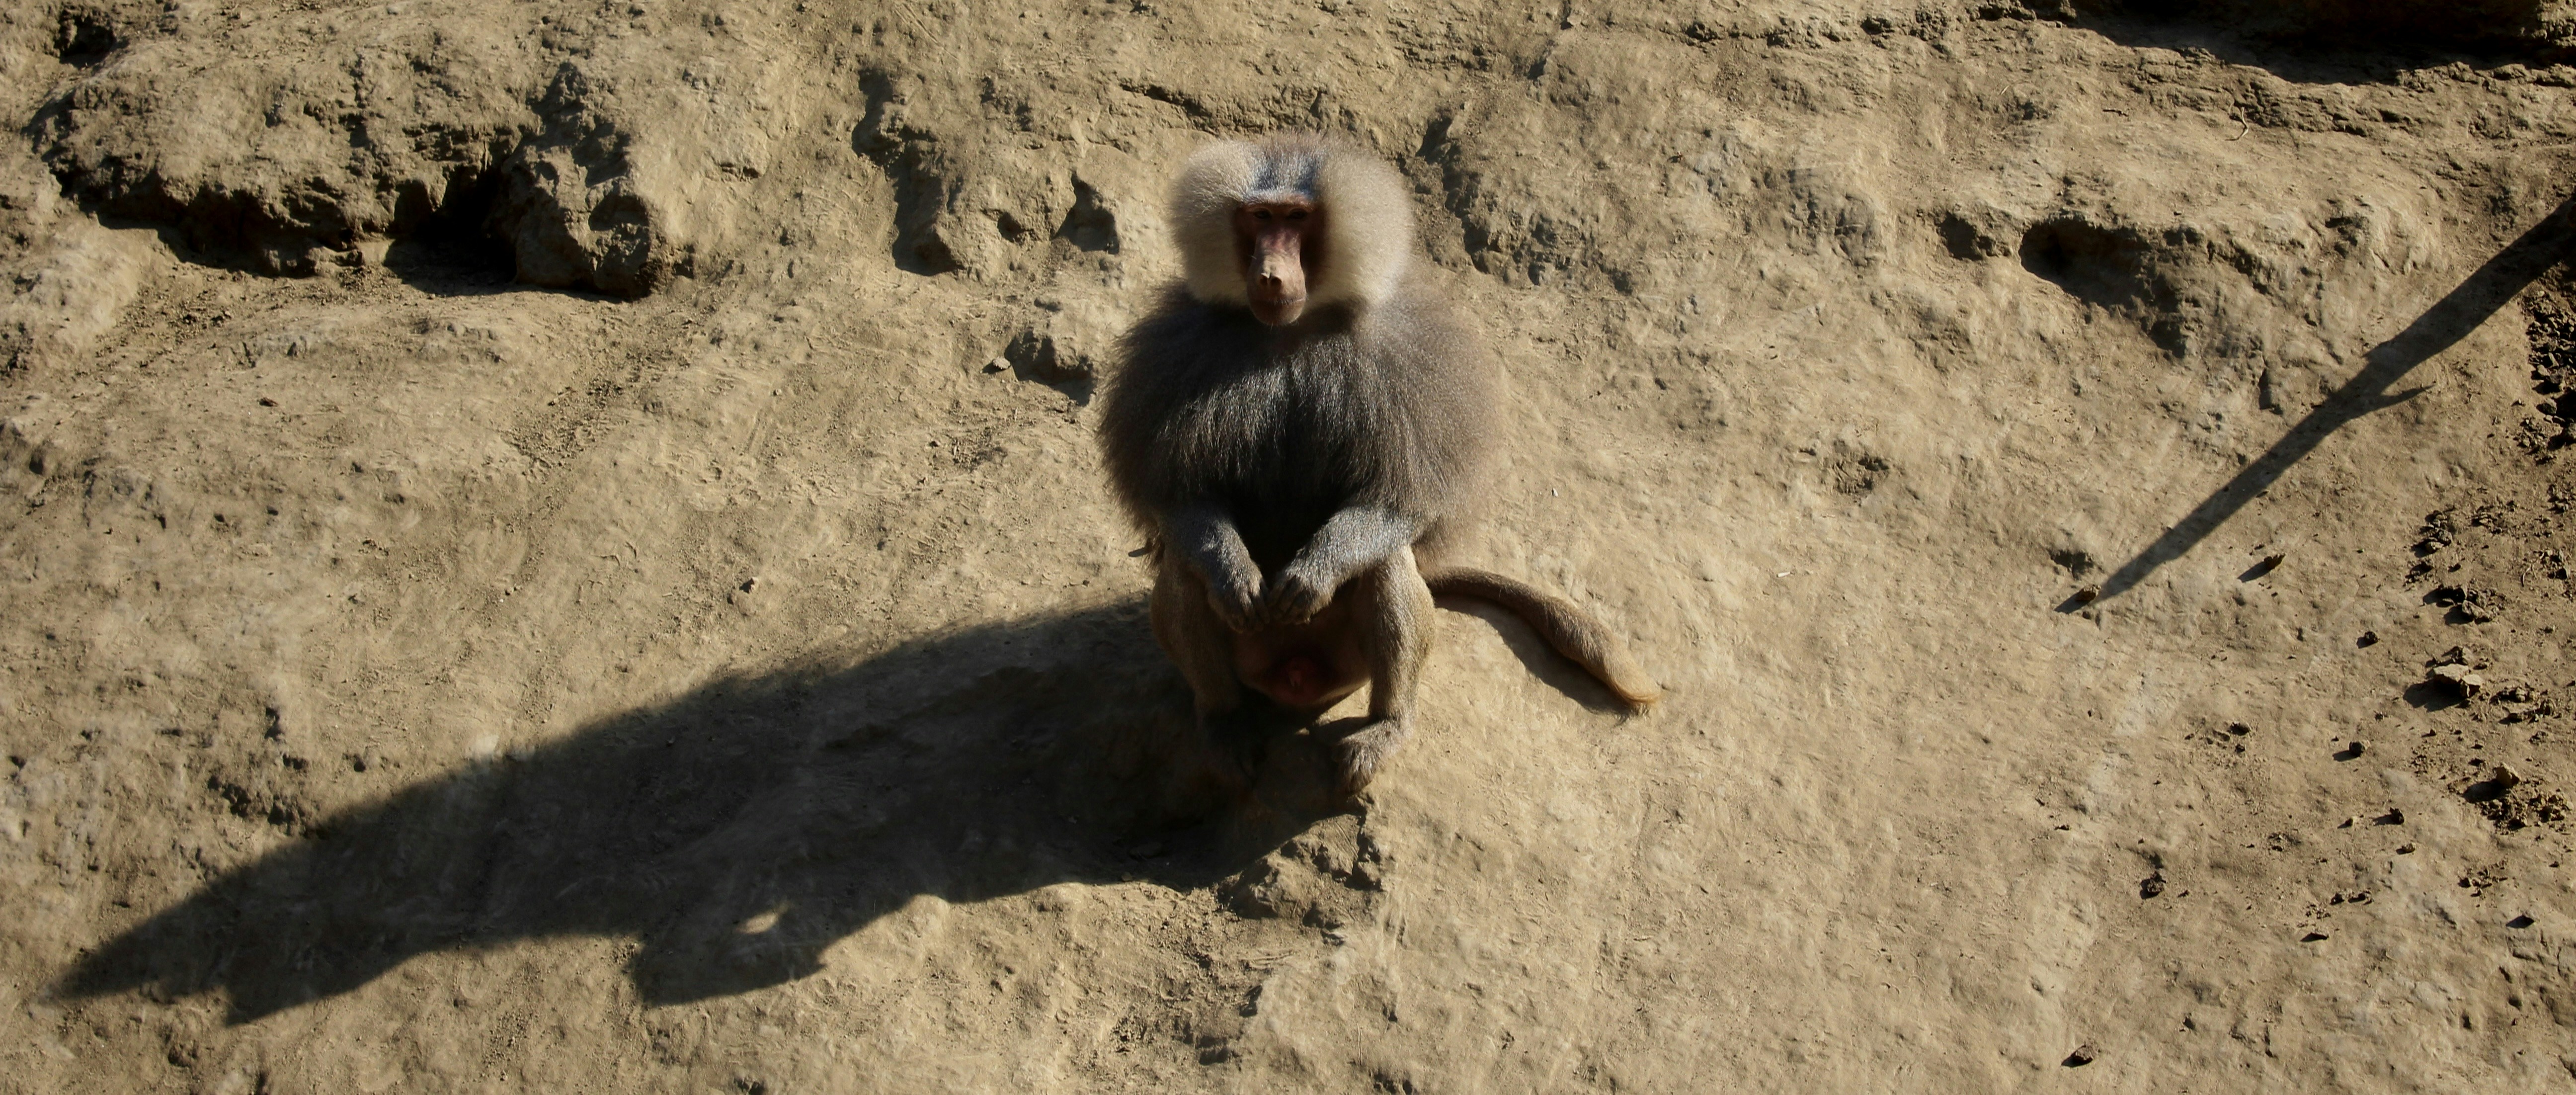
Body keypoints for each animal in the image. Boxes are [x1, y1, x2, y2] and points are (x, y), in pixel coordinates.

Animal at [1097, 132, 1660, 796]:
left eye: (1297, 219)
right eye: (1259, 218)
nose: (1269, 274)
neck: (1294, 331)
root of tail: (1296, 677)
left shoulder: (1406, 364)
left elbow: (1400, 502)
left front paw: (1313, 573)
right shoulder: (1177, 352)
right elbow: (1183, 499)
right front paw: (1235, 575)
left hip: (1347, 665)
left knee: (1388, 565)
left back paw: (1385, 729)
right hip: (1252, 657)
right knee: (1188, 572)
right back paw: (1225, 723)